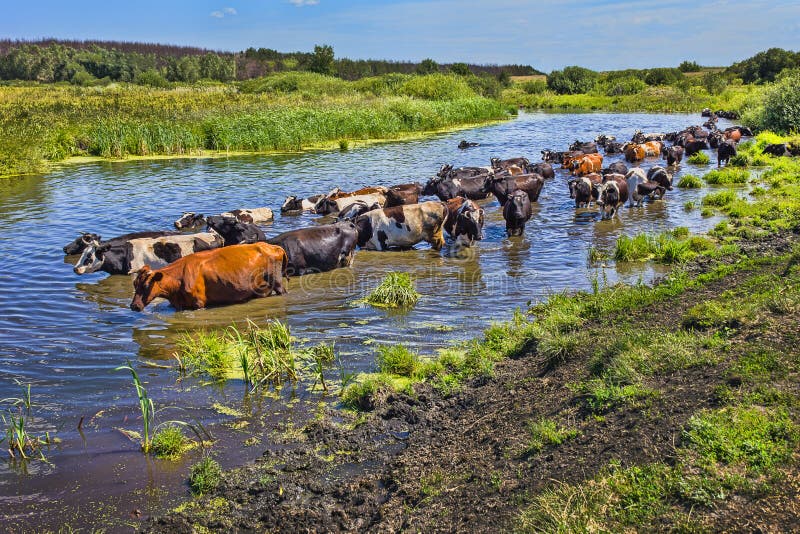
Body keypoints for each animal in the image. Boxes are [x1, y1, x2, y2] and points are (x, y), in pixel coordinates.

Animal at [129, 242, 287, 311]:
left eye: (146, 286)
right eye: (135, 285)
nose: (134, 306)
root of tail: (272, 246)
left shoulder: (198, 303)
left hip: (277, 281)